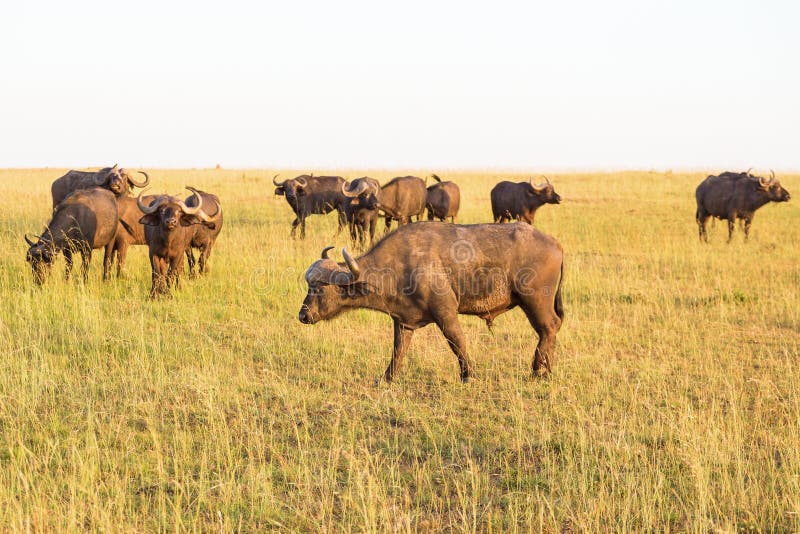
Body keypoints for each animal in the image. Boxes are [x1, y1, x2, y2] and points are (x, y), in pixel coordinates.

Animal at [298, 222, 565, 382]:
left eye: (319, 288)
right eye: (308, 286)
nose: (303, 315)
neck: (400, 267)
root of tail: (554, 243)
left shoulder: (446, 314)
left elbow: (458, 343)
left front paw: (468, 375)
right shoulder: (403, 321)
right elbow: (398, 349)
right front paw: (387, 377)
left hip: (535, 301)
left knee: (549, 327)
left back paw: (537, 370)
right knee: (550, 329)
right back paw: (546, 368)